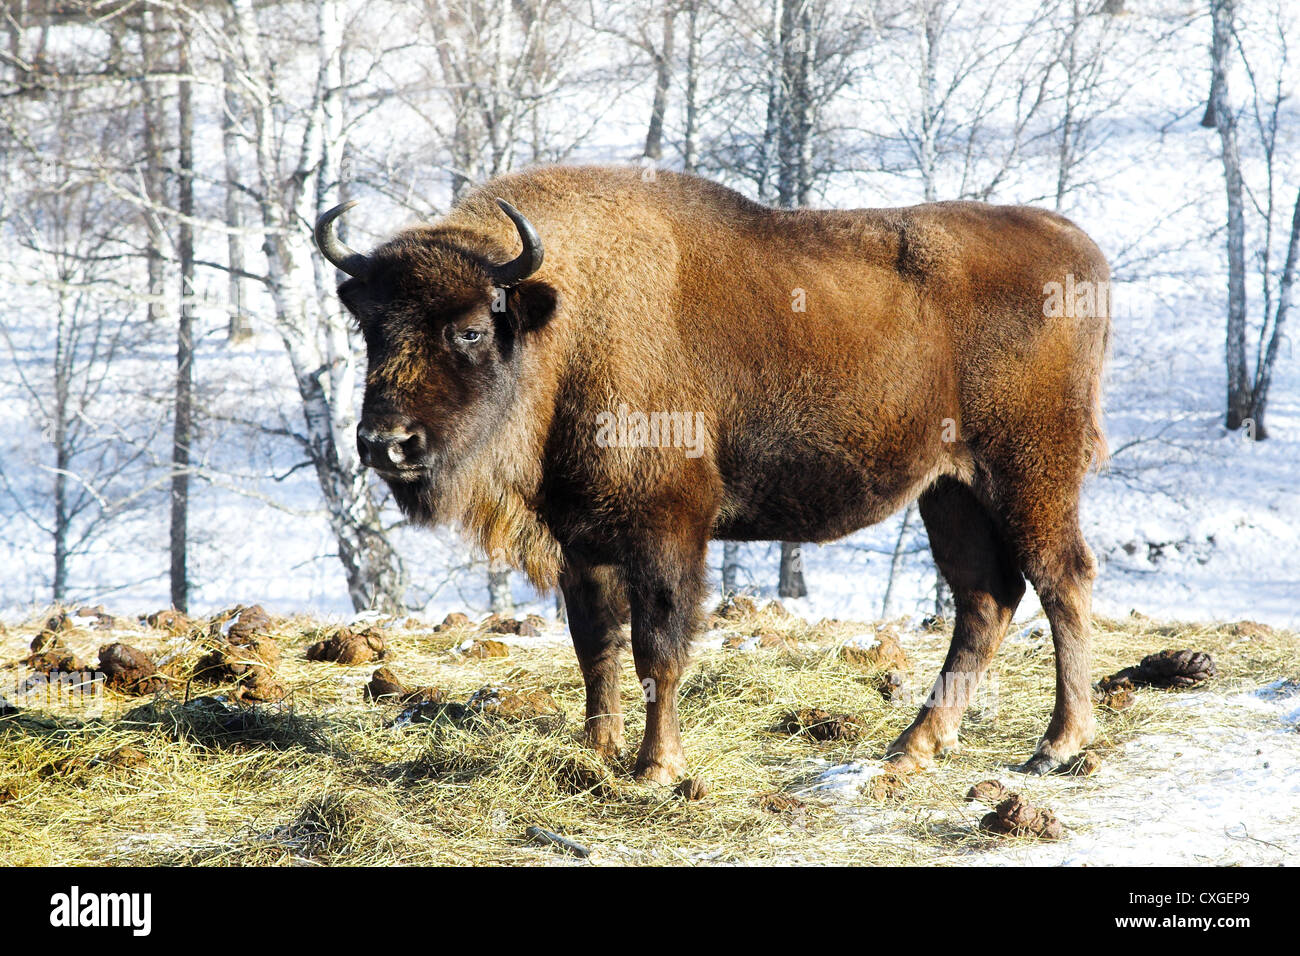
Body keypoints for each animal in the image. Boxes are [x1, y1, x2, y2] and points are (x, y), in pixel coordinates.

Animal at [315, 164, 1110, 784]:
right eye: (371, 329)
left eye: (472, 329)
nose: (387, 443)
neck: (564, 322)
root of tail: (1079, 248)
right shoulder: (582, 539)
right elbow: (594, 643)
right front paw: (597, 750)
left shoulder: (666, 529)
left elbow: (658, 645)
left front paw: (657, 766)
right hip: (950, 491)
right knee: (986, 599)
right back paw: (912, 749)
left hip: (1028, 471)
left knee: (1061, 578)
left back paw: (1056, 746)